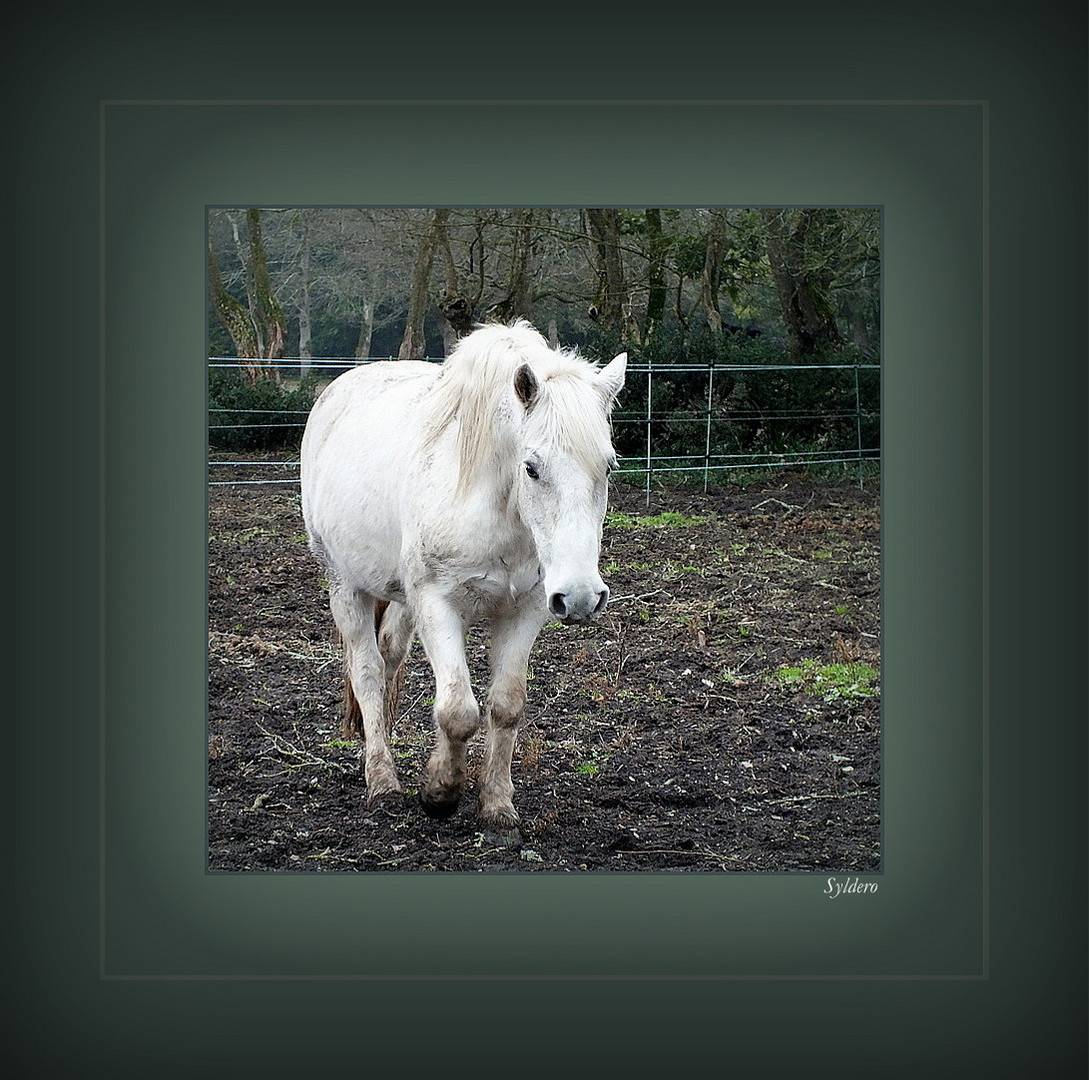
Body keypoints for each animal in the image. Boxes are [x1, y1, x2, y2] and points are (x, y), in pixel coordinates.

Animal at [300, 321, 627, 830]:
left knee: (389, 656)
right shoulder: (437, 605)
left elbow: (505, 707)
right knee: (368, 671)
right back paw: (382, 780)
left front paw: (497, 806)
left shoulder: (525, 610)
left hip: (398, 596)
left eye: (609, 466)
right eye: (531, 467)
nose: (579, 598)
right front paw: (440, 792)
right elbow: (458, 711)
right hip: (344, 587)